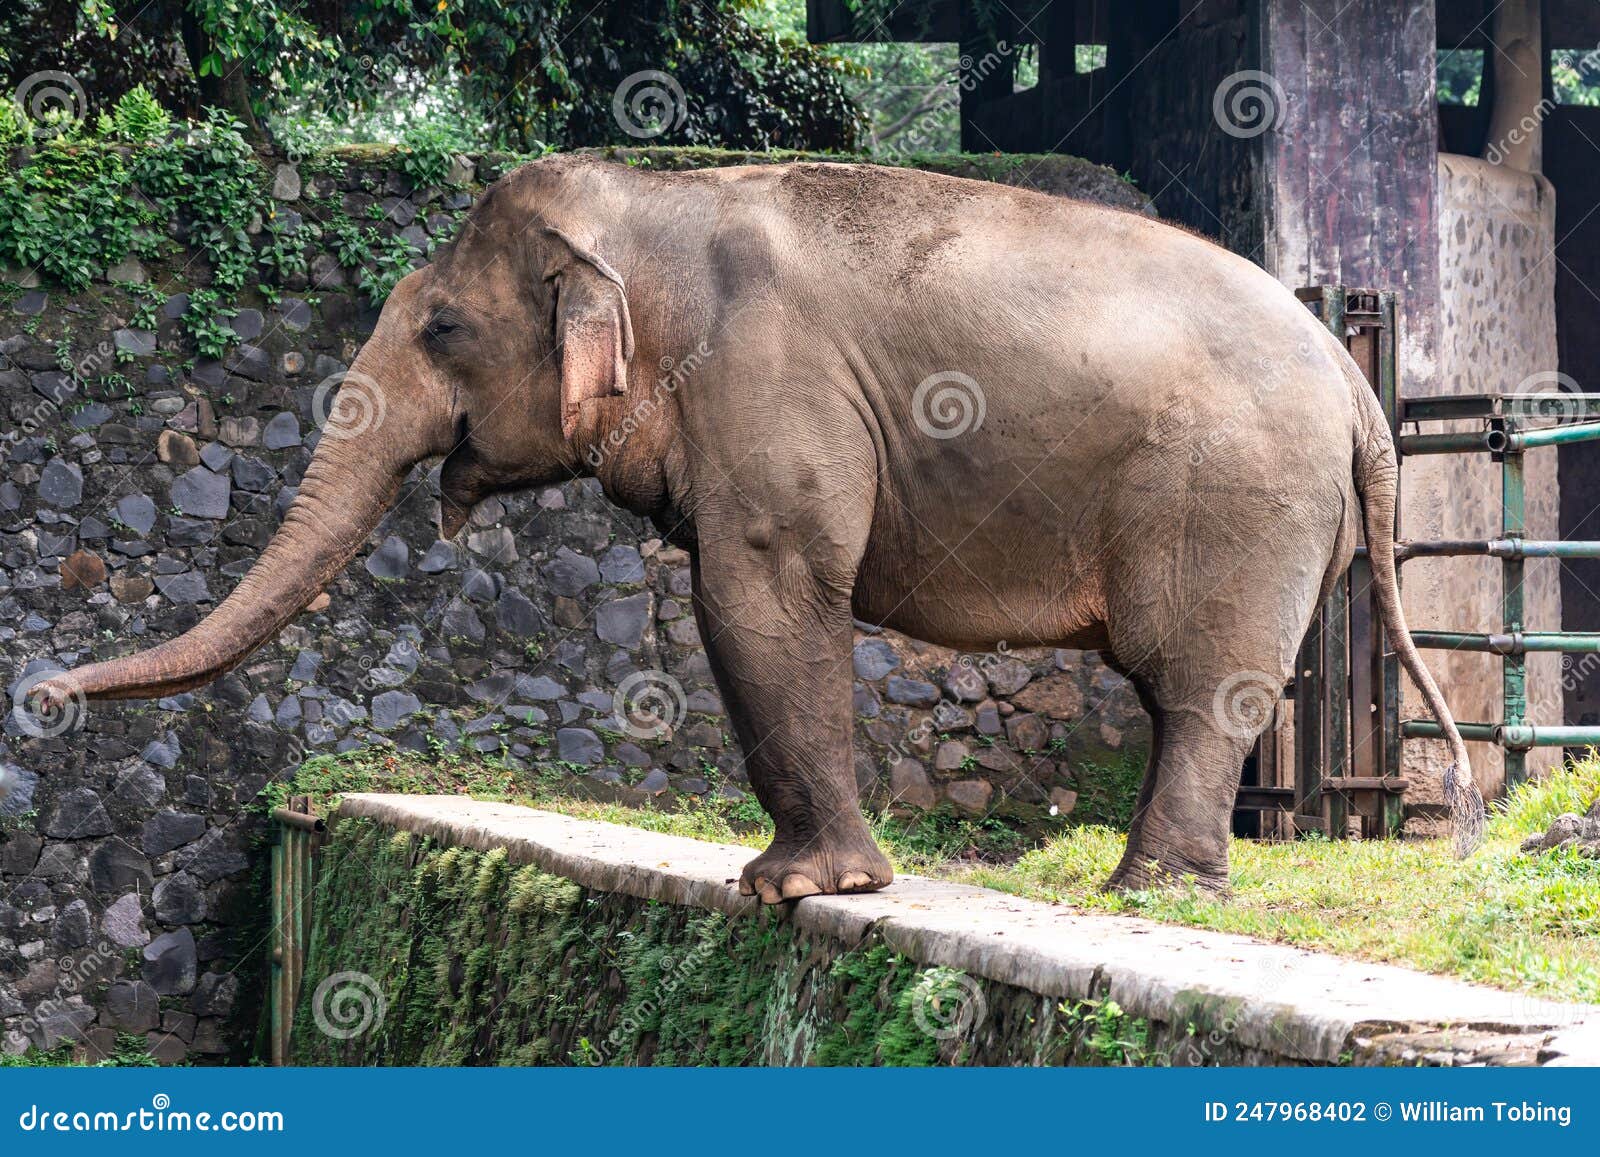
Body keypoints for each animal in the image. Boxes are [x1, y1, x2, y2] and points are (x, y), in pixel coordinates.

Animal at [30, 154, 1484, 900]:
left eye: (440, 326)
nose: (37, 693)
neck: (653, 204)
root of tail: (1357, 378)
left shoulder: (769, 390)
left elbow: (760, 589)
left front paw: (799, 891)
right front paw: (788, 880)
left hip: (1236, 495)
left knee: (1201, 687)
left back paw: (1150, 893)